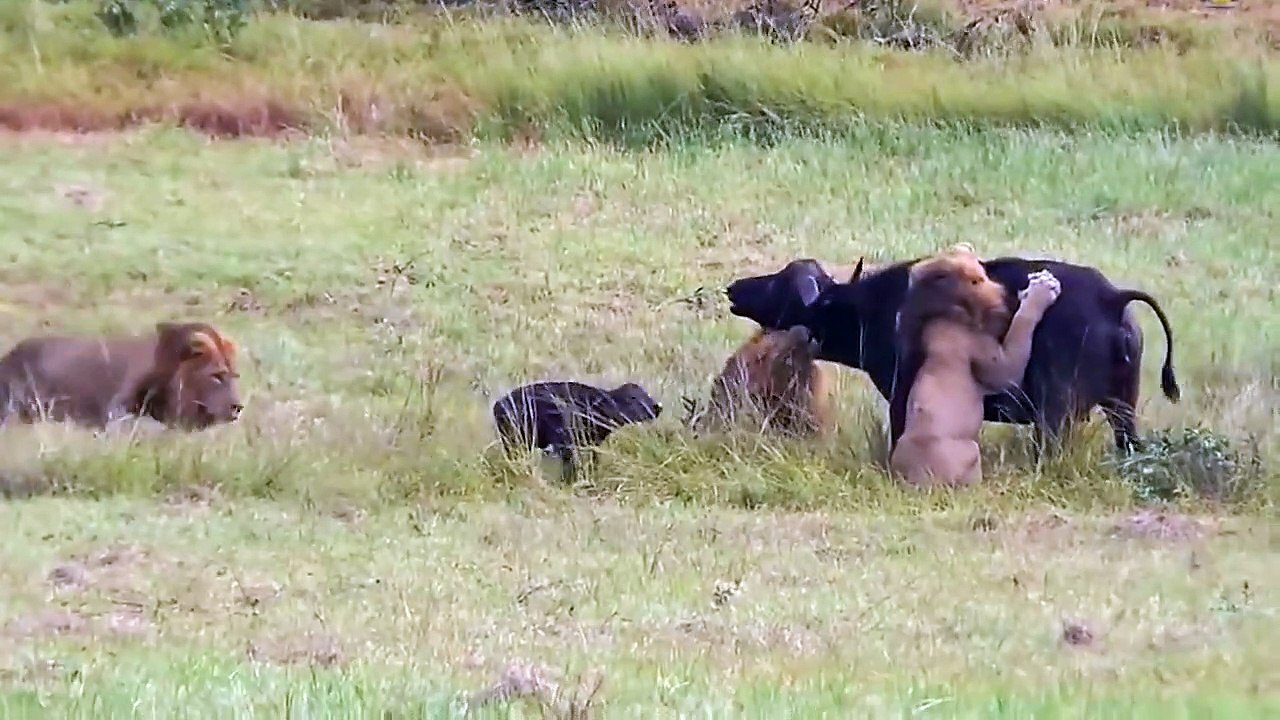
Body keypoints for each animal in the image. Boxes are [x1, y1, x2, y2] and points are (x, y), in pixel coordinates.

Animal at [888, 244, 1062, 487]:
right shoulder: (995, 362)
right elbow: (1020, 326)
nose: (1006, 293)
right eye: (977, 280)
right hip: (970, 450)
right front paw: (1041, 291)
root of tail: (914, 483)